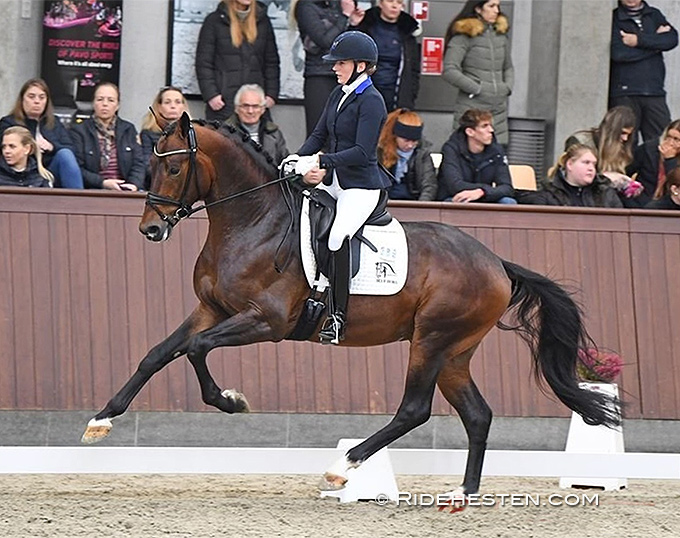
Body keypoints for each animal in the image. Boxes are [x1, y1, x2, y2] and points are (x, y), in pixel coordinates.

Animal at [82, 112, 620, 496]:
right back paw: (462, 494)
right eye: (151, 165)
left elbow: (195, 351)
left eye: (174, 167)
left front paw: (232, 401)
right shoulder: (211, 310)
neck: (253, 221)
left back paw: (343, 467)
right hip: (455, 352)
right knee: (477, 415)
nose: (150, 229)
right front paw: (101, 420)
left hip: (432, 341)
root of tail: (495, 263)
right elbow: (157, 354)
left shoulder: (265, 322)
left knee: (414, 409)